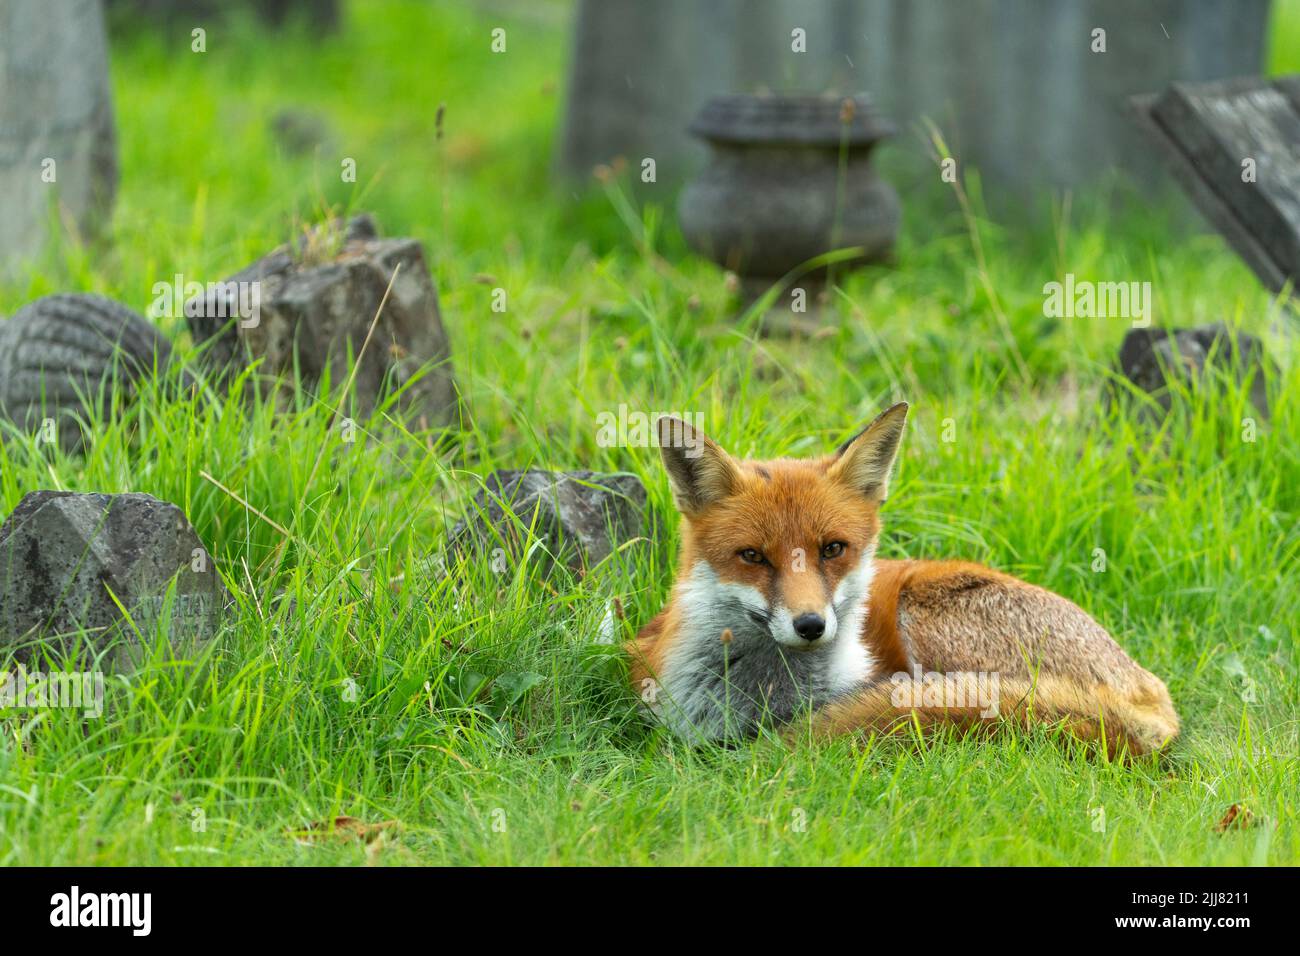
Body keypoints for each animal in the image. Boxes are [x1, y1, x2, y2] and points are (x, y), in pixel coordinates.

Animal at [628, 403, 1179, 756]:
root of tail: (1154, 691)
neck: (769, 701)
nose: (810, 625)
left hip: (922, 611)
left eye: (833, 549)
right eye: (752, 556)